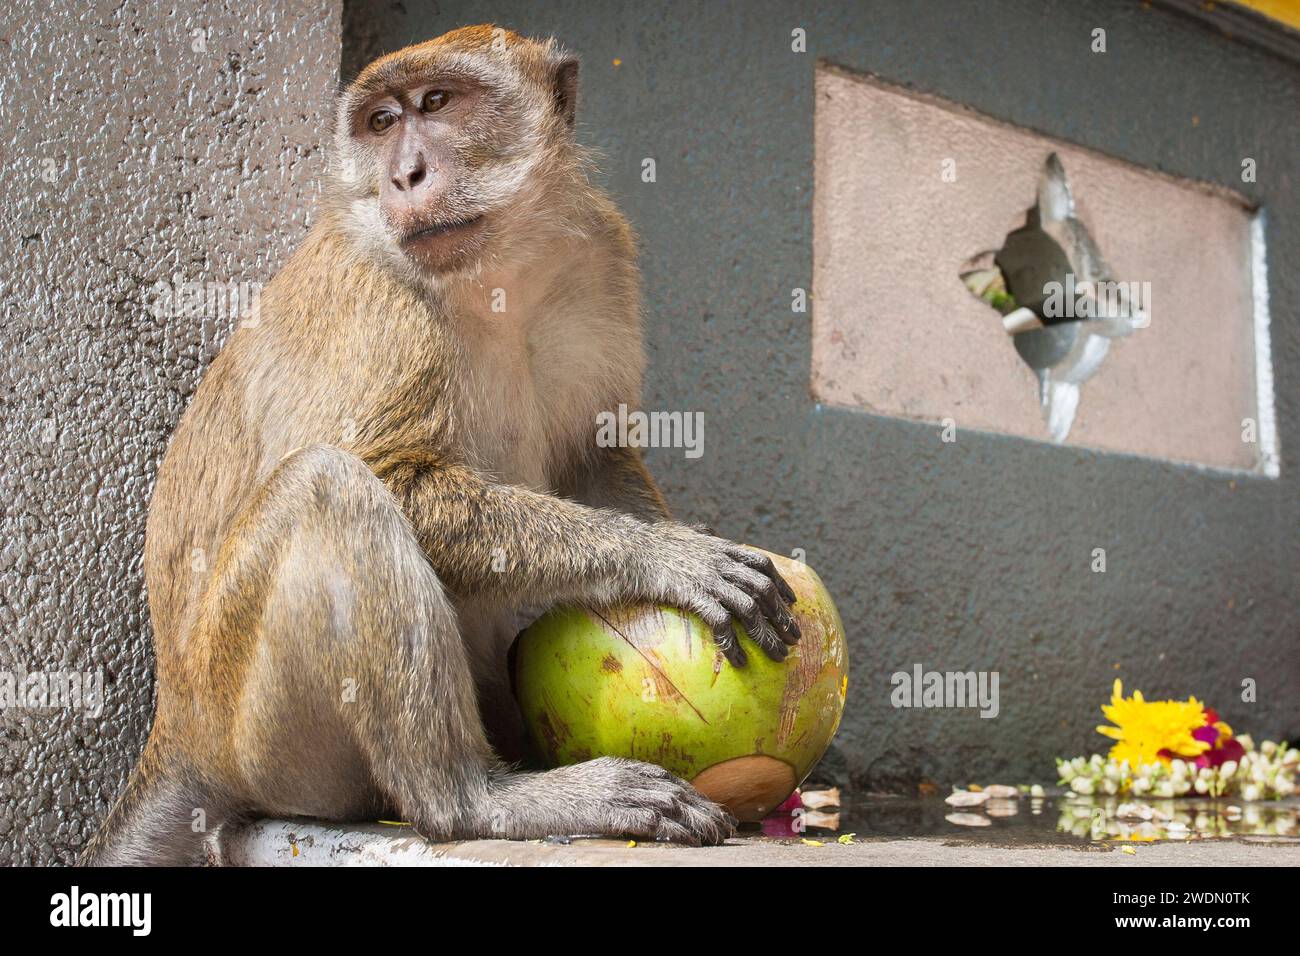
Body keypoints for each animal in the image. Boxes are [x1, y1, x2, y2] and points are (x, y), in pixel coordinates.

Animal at [80, 25, 801, 866]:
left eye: (436, 102)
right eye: (381, 122)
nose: (405, 174)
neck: (498, 272)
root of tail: (178, 729)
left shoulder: (601, 254)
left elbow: (593, 453)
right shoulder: (381, 299)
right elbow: (387, 470)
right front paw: (664, 556)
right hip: (253, 734)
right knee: (330, 489)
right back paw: (476, 799)